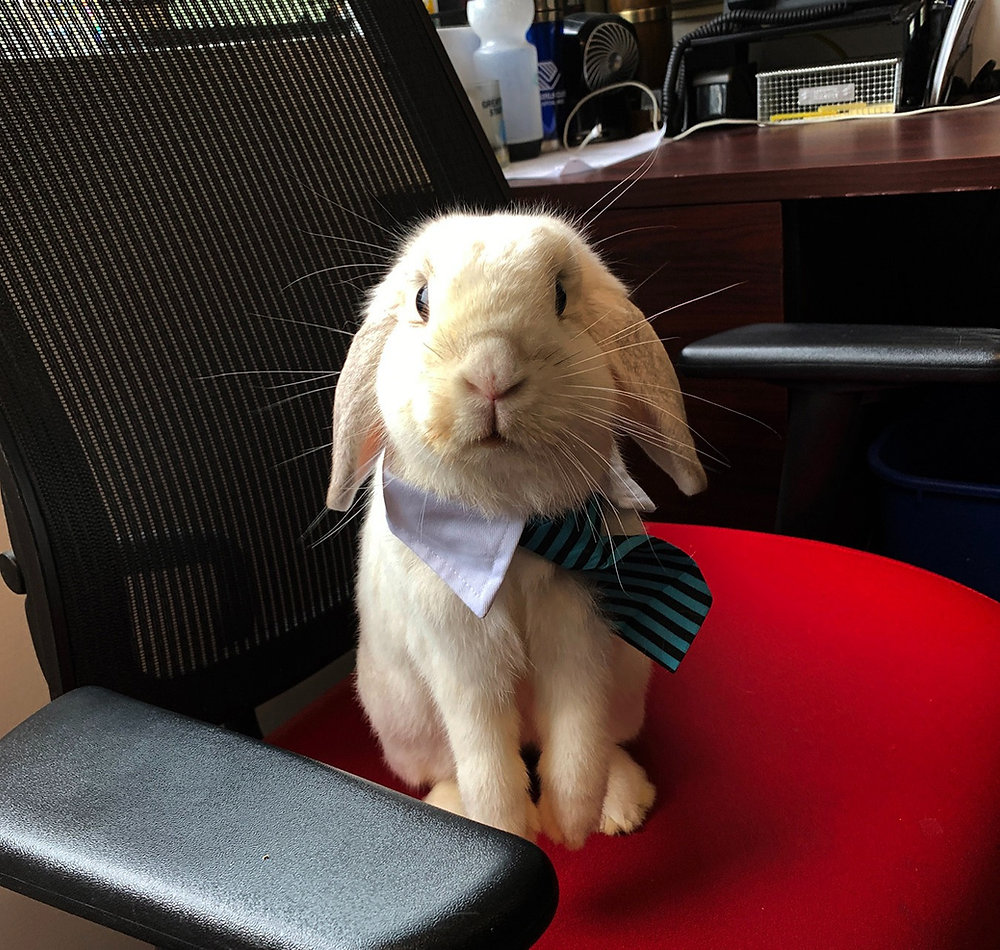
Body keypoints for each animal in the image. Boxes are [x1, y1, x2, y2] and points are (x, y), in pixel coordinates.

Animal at [326, 210, 706, 849]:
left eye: (560, 296)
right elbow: (487, 760)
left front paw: (567, 828)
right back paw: (457, 809)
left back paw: (621, 808)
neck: (514, 526)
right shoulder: (459, 659)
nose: (491, 373)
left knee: (606, 745)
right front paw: (512, 832)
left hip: (628, 683)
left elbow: (576, 745)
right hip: (403, 720)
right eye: (421, 300)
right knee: (446, 769)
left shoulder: (581, 642)